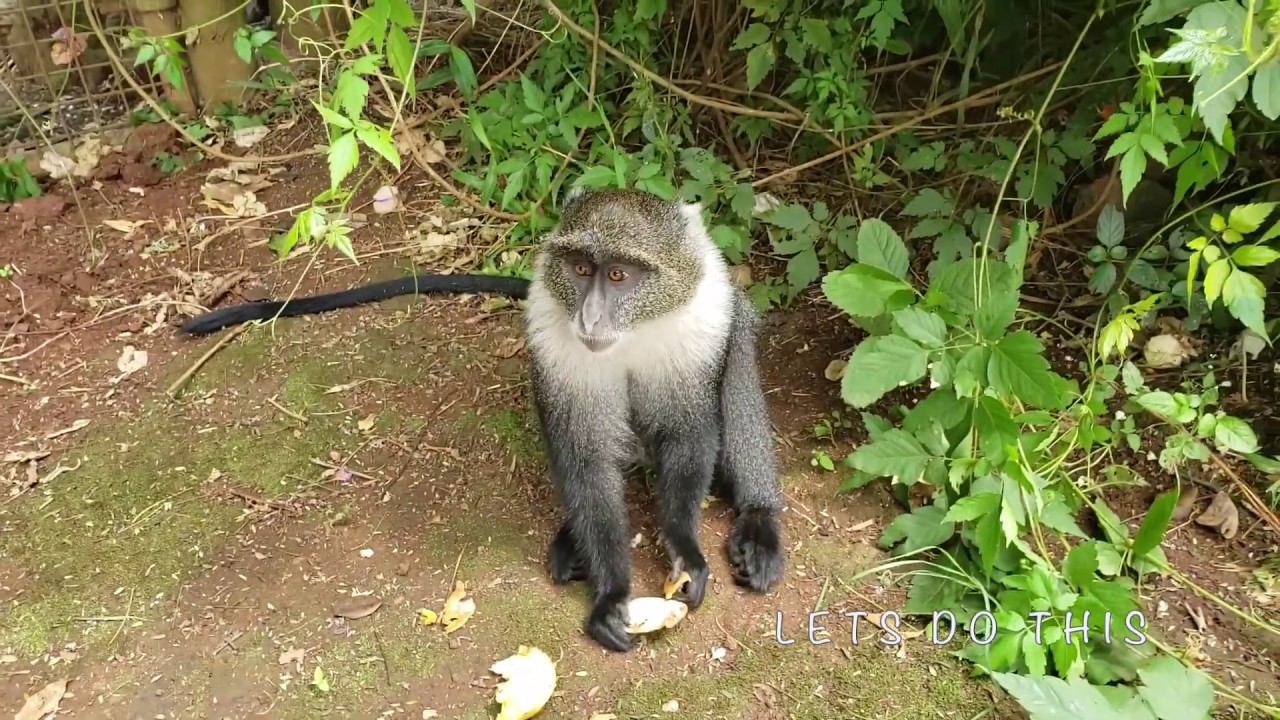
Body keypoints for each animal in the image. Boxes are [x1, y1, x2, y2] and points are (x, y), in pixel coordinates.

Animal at [177, 187, 786, 653]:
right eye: (580, 268)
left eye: (618, 274)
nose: (589, 316)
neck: (631, 334)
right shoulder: (553, 343)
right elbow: (586, 459)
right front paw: (611, 592)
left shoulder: (699, 331)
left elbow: (687, 434)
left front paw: (684, 549)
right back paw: (574, 542)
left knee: (739, 358)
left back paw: (758, 519)